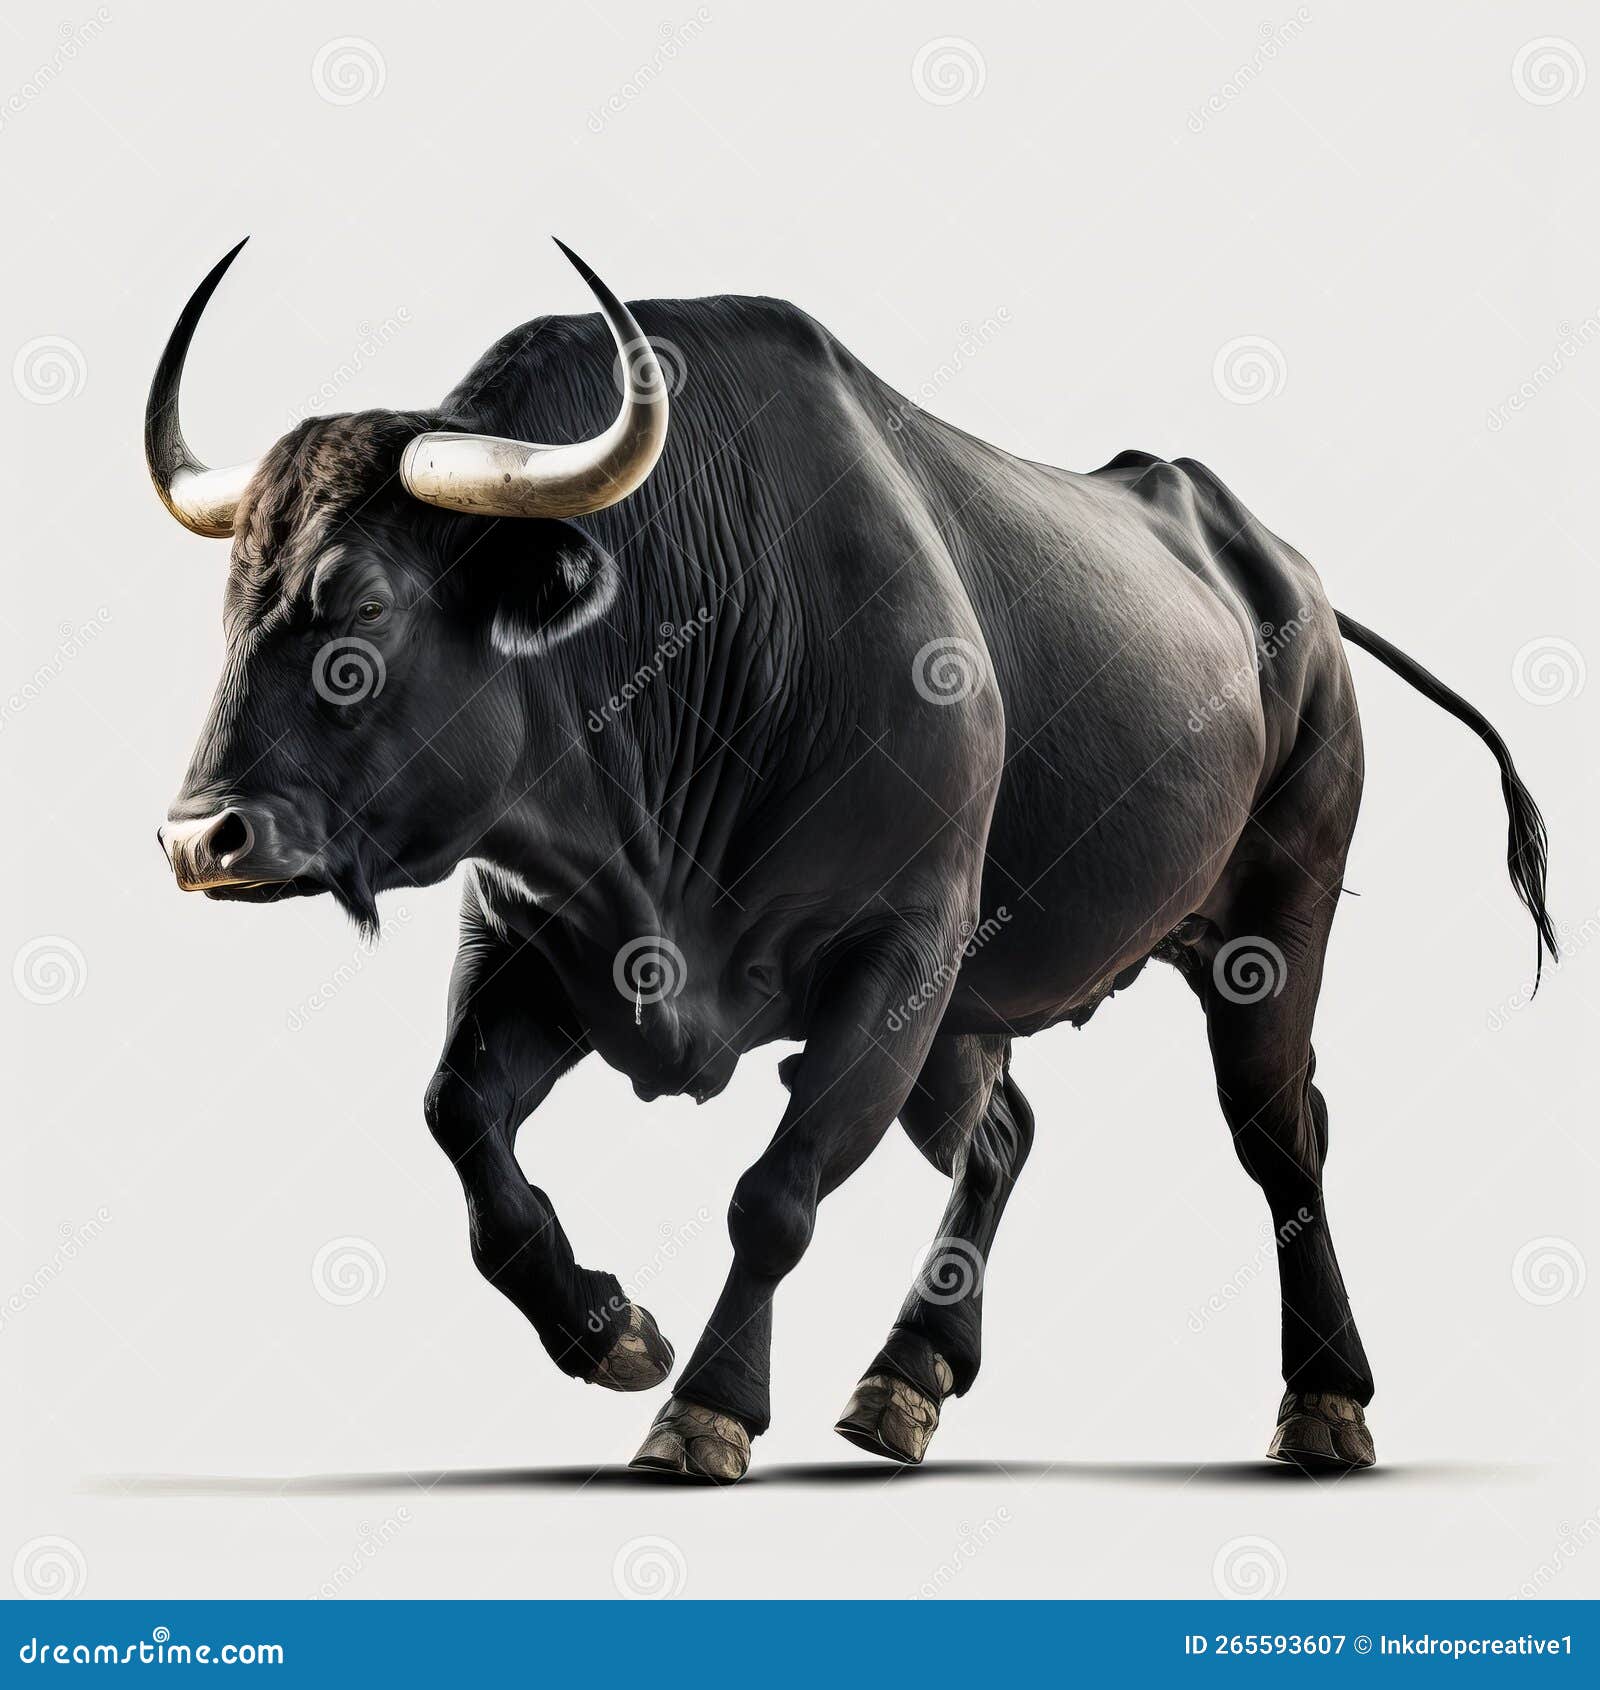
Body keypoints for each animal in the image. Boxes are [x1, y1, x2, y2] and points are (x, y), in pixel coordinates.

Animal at [149, 240, 1556, 1483]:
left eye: (364, 607)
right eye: (233, 602)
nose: (199, 836)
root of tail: (1287, 579)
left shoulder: (899, 958)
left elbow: (774, 1194)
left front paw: (704, 1407)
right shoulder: (540, 942)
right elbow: (458, 1116)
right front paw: (605, 1328)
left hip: (1273, 922)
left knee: (1281, 1139)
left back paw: (1323, 1398)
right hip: (981, 1013)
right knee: (1003, 1135)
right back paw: (910, 1369)